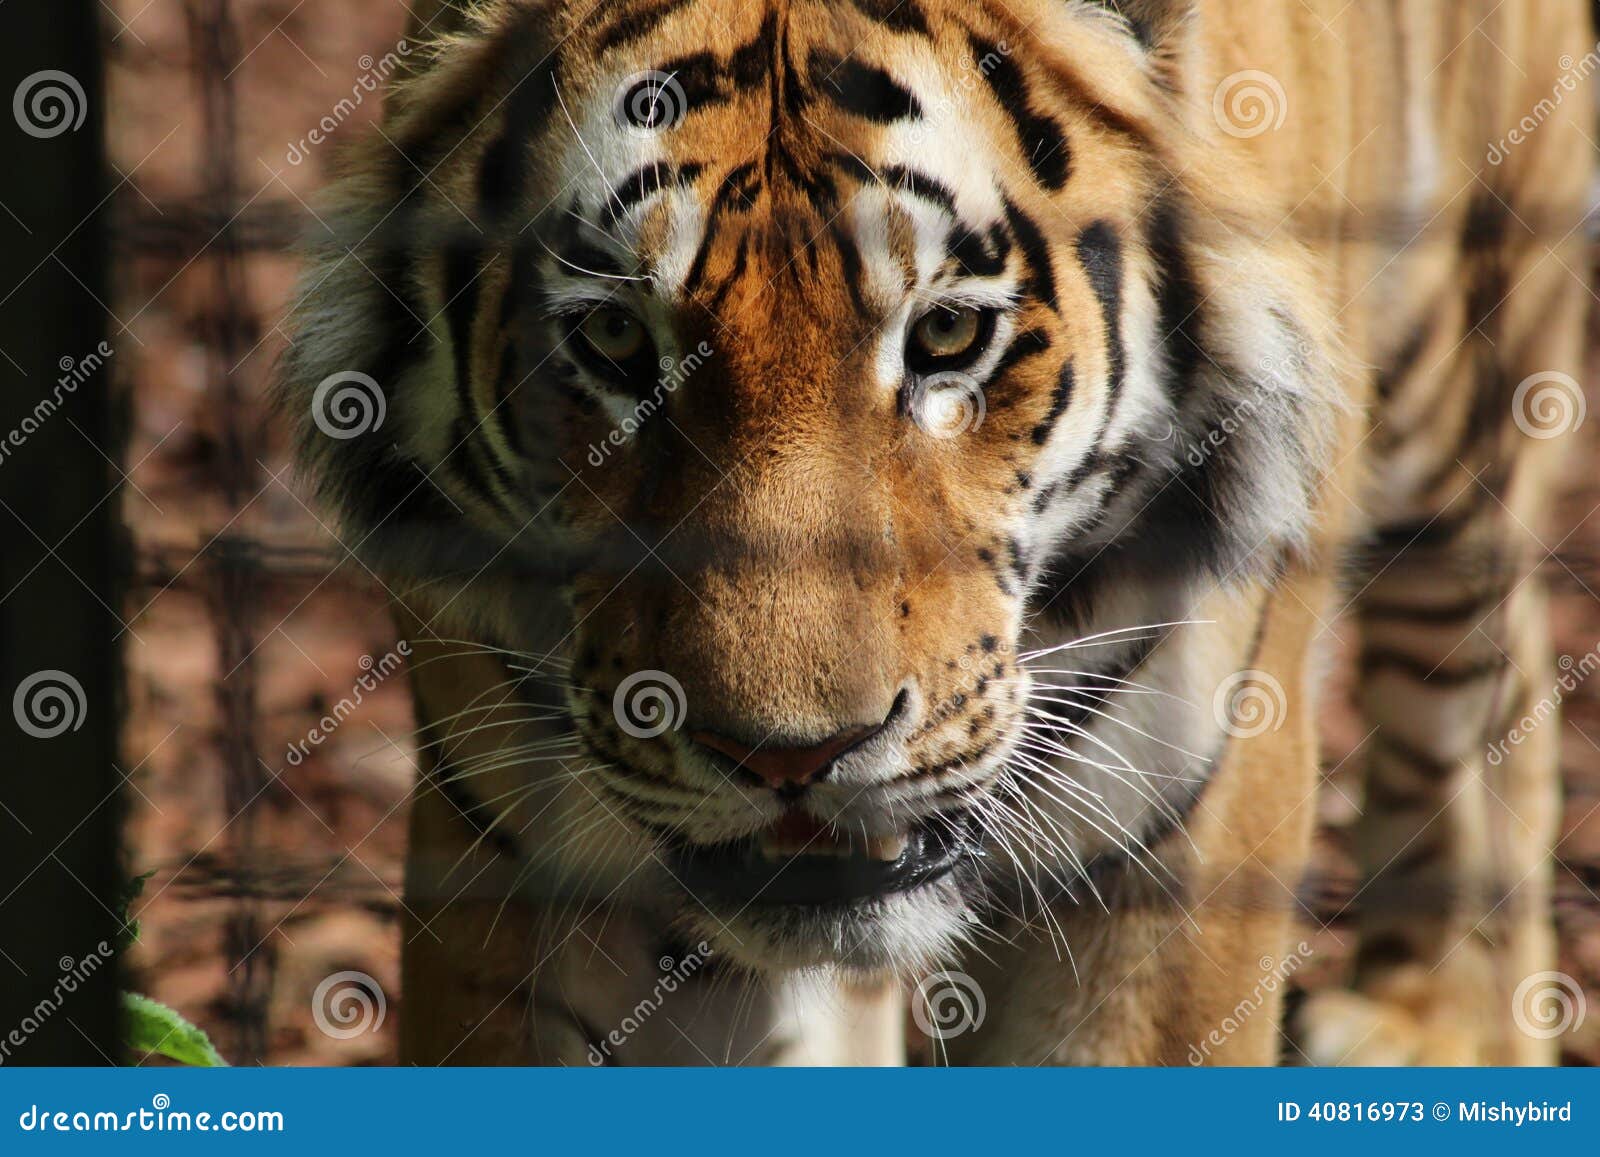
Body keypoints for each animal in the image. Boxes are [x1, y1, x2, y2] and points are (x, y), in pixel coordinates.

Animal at [277, 0, 1594, 1065]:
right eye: (610, 340)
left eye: (949, 335)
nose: (790, 758)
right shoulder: (520, 860)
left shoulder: (1174, 843)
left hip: (1462, 372)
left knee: (1481, 693)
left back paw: (1433, 1022)